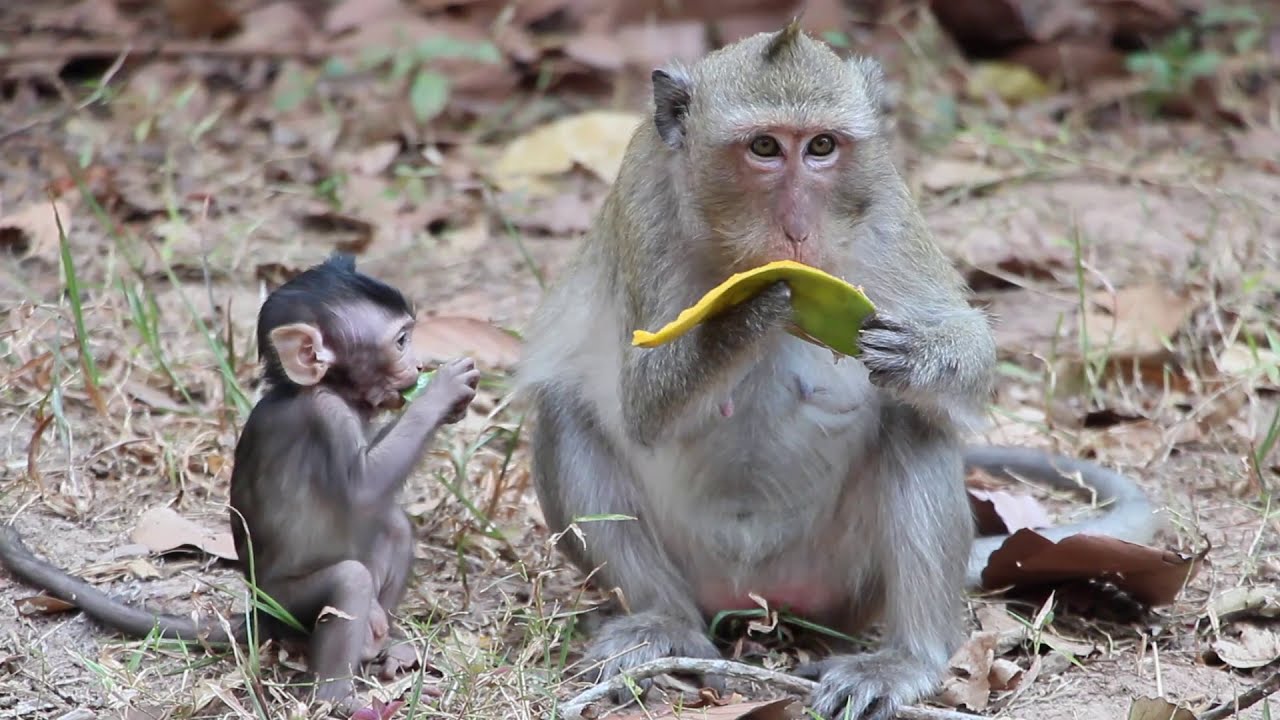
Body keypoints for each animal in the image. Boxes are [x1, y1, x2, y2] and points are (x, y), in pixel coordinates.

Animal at [0, 254, 480, 714]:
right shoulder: (325, 417)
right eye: (400, 341)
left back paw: (386, 646)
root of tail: (256, 613)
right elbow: (365, 487)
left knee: (393, 526)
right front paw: (441, 393)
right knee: (350, 579)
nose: (418, 364)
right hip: (284, 606)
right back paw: (335, 698)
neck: (310, 389)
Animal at [515, 24, 1161, 720]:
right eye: (765, 148)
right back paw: (664, 625)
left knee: (914, 420)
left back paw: (907, 660)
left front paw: (922, 355)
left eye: (822, 146)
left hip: (846, 581)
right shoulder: (644, 203)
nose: (797, 228)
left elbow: (963, 357)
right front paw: (750, 311)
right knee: (565, 412)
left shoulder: (886, 204)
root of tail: (757, 600)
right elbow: (642, 404)